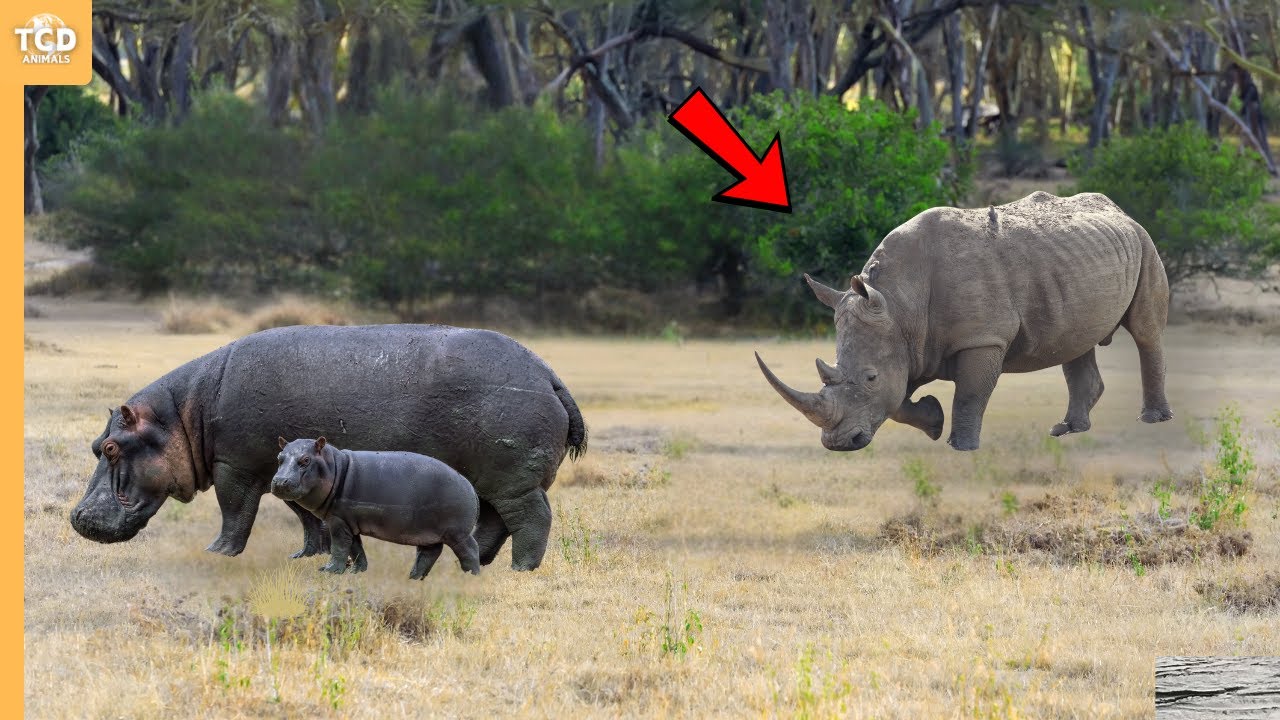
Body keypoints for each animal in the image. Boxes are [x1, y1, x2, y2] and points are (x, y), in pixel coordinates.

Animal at [272, 437, 481, 579]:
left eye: (306, 460)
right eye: (279, 457)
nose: (280, 481)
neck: (335, 467)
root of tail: (471, 488)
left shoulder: (337, 521)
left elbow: (339, 546)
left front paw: (328, 571)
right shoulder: (348, 522)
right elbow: (355, 548)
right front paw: (356, 571)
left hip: (457, 533)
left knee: (470, 550)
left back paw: (470, 577)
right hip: (429, 534)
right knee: (428, 554)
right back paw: (413, 579)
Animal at [756, 191, 1173, 451]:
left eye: (870, 377)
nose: (839, 444)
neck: (901, 302)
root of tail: (1120, 211)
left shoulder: (982, 338)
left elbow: (970, 394)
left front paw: (961, 446)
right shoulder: (911, 343)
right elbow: (899, 399)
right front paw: (933, 422)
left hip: (1145, 243)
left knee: (1145, 333)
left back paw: (1153, 421)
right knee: (1076, 342)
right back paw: (1066, 430)